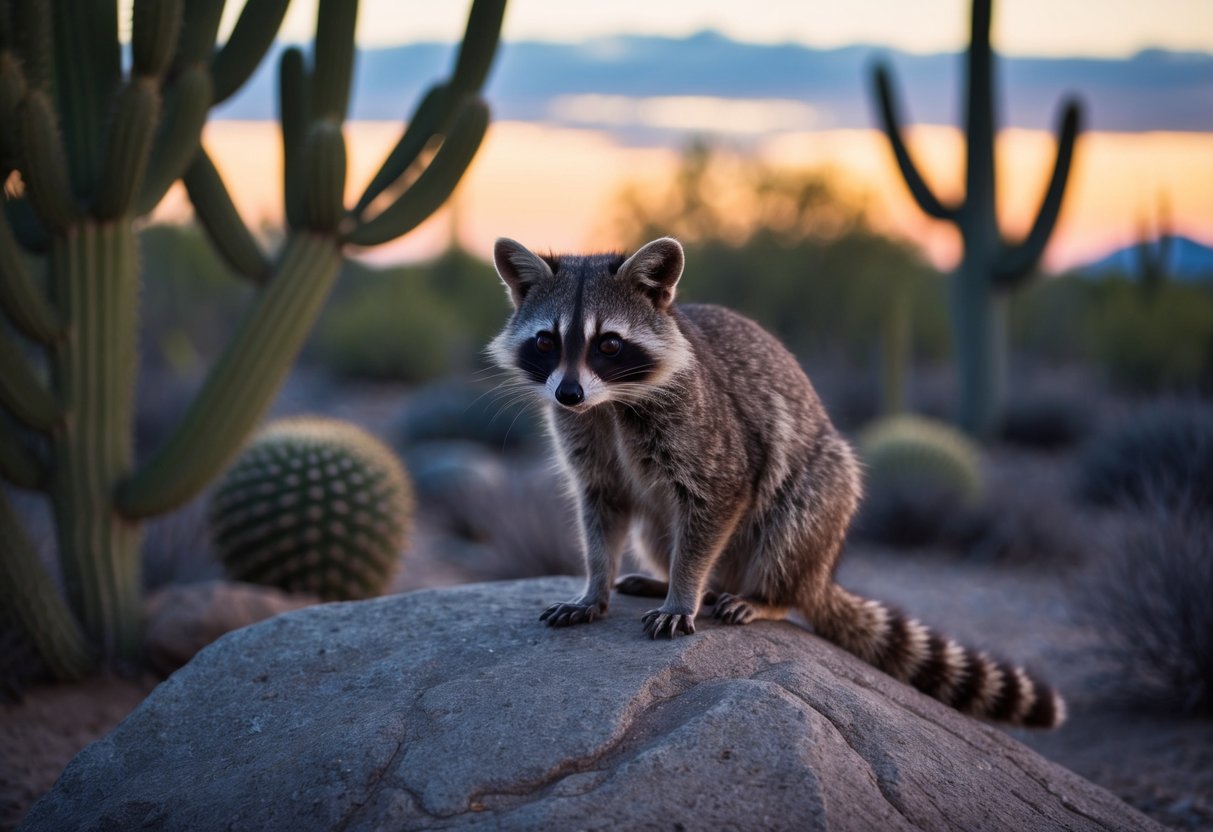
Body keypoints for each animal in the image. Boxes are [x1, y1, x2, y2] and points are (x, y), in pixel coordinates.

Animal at [488, 236, 1064, 729]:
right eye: (546, 341)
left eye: (609, 344)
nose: (567, 394)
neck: (608, 404)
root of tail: (819, 576)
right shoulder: (587, 442)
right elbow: (601, 511)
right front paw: (595, 585)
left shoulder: (705, 427)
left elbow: (719, 496)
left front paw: (683, 593)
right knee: (657, 528)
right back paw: (671, 578)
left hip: (821, 498)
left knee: (791, 521)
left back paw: (759, 594)